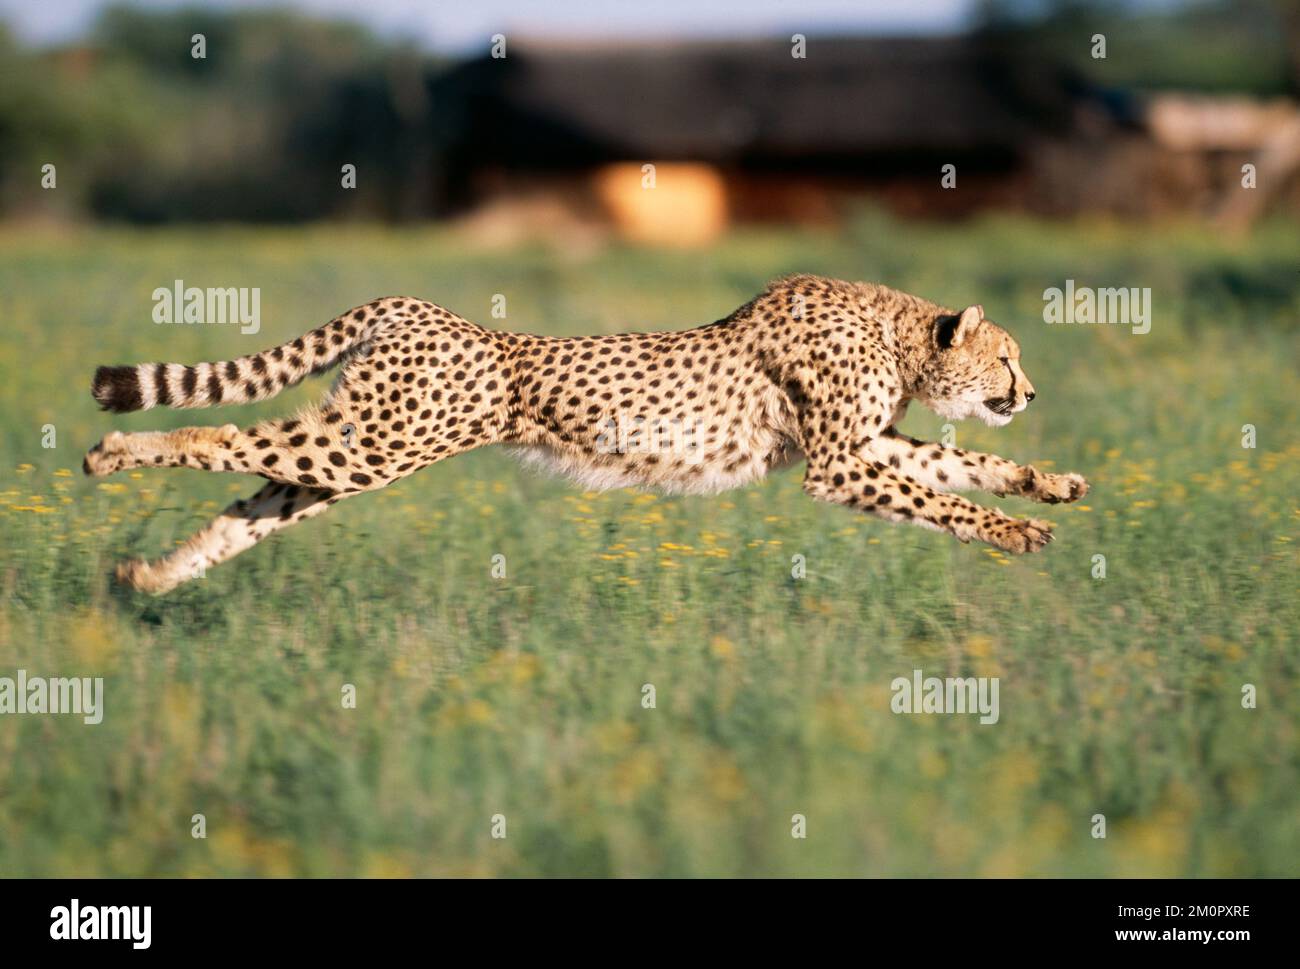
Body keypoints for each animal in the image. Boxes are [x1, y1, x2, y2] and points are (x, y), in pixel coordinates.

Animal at [85, 274, 1089, 594]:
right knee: (218, 434)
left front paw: (1049, 486)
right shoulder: (838, 463)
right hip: (374, 443)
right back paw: (113, 454)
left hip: (353, 451)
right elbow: (939, 498)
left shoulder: (862, 445)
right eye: (1007, 359)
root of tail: (414, 304)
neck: (897, 332)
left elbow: (966, 464)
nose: (1033, 389)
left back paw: (149, 576)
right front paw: (1017, 532)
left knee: (250, 504)